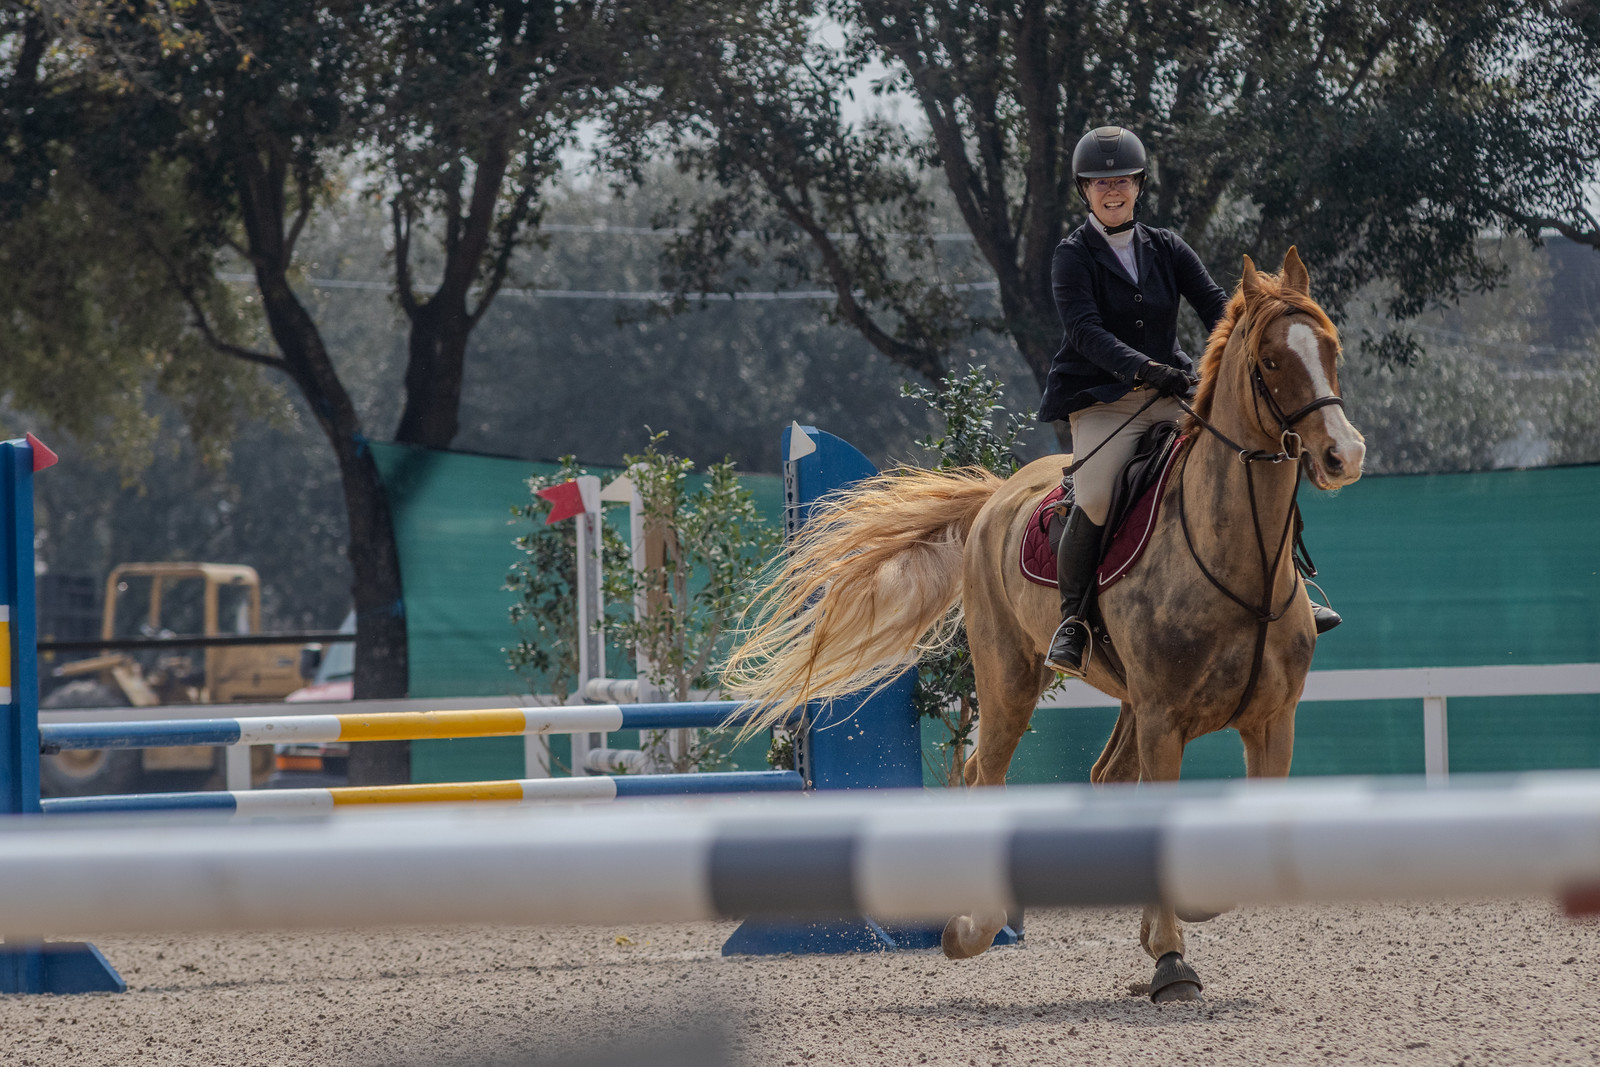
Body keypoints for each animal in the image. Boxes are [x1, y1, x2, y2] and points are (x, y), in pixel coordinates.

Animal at [723, 247, 1366, 1001]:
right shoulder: (1165, 718)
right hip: (1010, 680)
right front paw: (1173, 961)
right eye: (1270, 360)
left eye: (1331, 348)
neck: (1239, 561)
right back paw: (974, 928)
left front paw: (1172, 934)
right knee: (983, 773)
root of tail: (993, 497)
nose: (1343, 456)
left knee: (1101, 776)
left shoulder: (1270, 718)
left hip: (1121, 699)